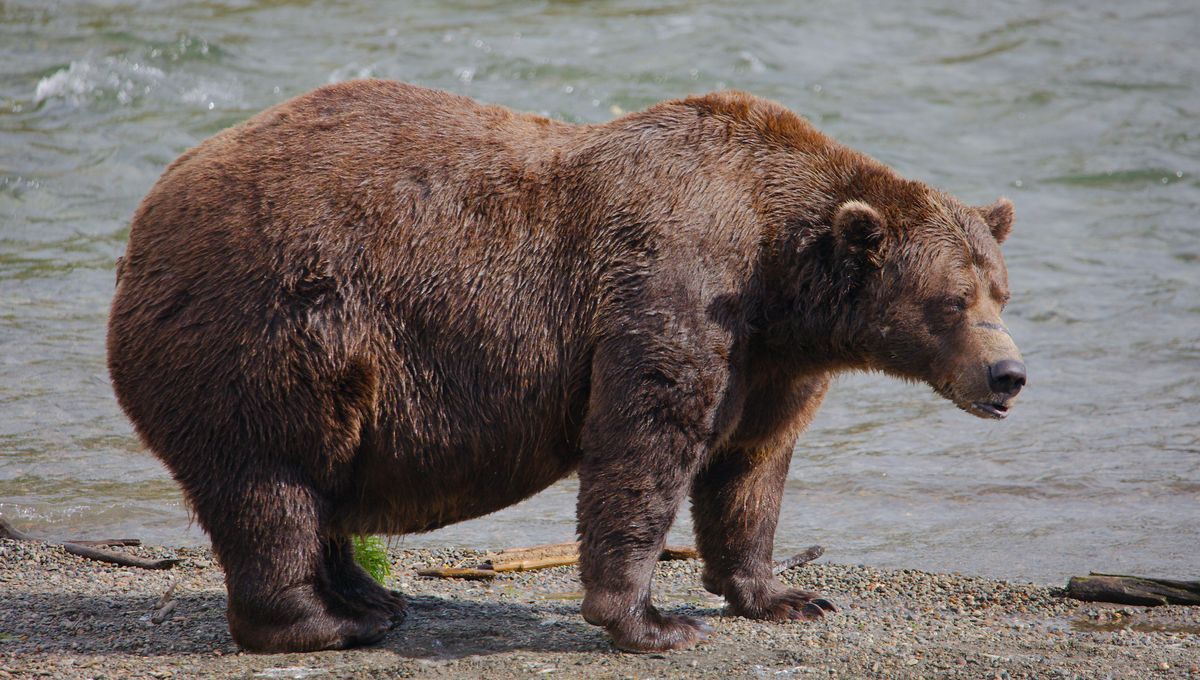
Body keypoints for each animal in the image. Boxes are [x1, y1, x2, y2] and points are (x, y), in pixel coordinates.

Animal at [107, 80, 1025, 654]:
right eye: (952, 301)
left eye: (1001, 291)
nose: (1008, 376)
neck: (781, 272)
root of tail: (143, 222)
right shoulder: (674, 284)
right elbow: (644, 441)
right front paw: (652, 622)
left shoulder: (772, 360)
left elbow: (750, 467)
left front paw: (785, 595)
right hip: (268, 330)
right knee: (273, 484)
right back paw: (326, 622)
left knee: (319, 484)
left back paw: (372, 597)